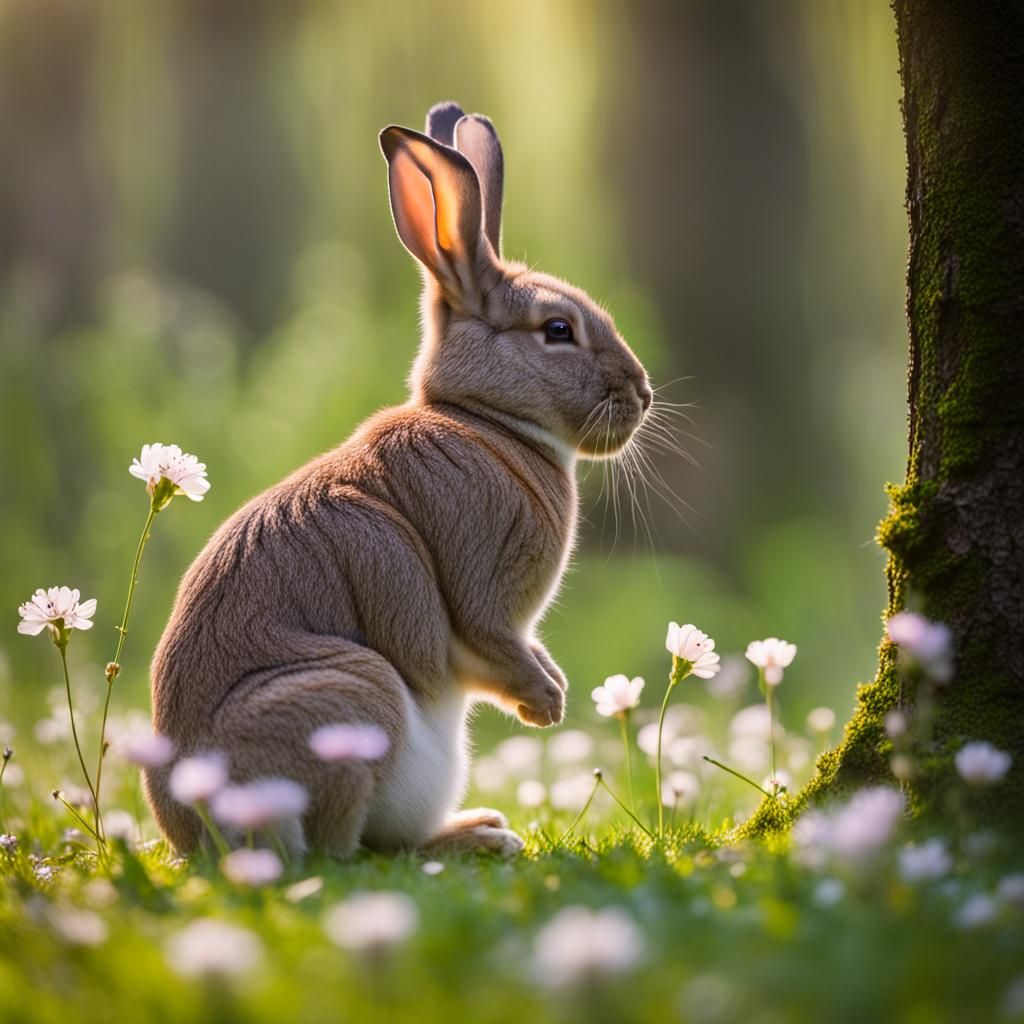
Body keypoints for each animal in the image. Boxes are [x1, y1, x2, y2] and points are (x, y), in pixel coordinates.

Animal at [143, 101, 653, 860]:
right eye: (558, 329)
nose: (643, 395)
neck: (486, 420)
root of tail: (200, 824)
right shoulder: (484, 583)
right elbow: (493, 640)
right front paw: (546, 703)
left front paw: (553, 690)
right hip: (355, 702)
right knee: (346, 852)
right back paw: (477, 841)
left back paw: (481, 828)